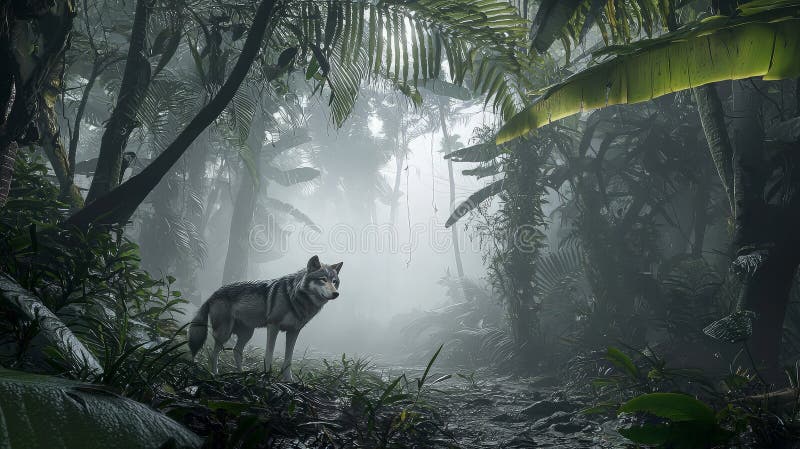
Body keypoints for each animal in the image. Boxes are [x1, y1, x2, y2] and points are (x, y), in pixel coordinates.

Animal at [188, 255, 342, 381]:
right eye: (323, 280)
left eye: (334, 281)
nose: (336, 294)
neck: (296, 298)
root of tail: (213, 294)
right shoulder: (273, 326)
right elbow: (269, 354)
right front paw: (267, 376)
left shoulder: (294, 331)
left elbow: (288, 360)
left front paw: (289, 381)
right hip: (224, 333)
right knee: (213, 352)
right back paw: (214, 374)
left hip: (247, 333)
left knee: (237, 351)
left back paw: (241, 374)